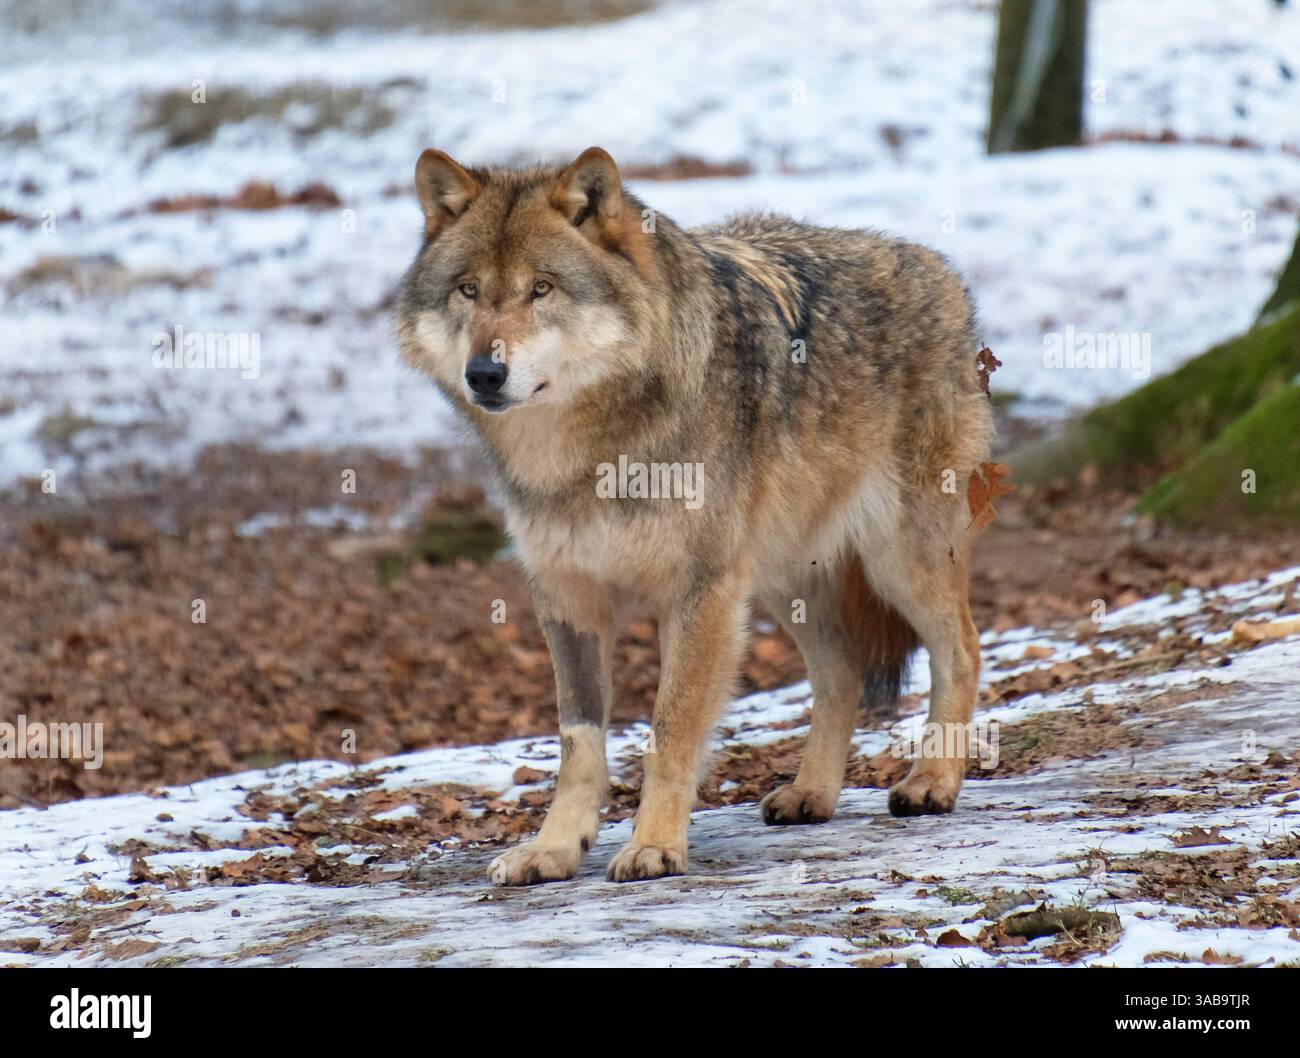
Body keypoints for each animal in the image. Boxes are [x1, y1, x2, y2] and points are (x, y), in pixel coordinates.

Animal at [396, 147, 995, 884]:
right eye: (468, 291)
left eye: (542, 289)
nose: (484, 373)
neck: (585, 453)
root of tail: (938, 268)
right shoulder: (567, 599)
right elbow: (578, 742)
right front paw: (554, 849)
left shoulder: (699, 592)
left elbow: (670, 729)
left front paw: (653, 845)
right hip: (785, 581)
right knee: (842, 672)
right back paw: (812, 794)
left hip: (898, 559)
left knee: (962, 647)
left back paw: (933, 781)